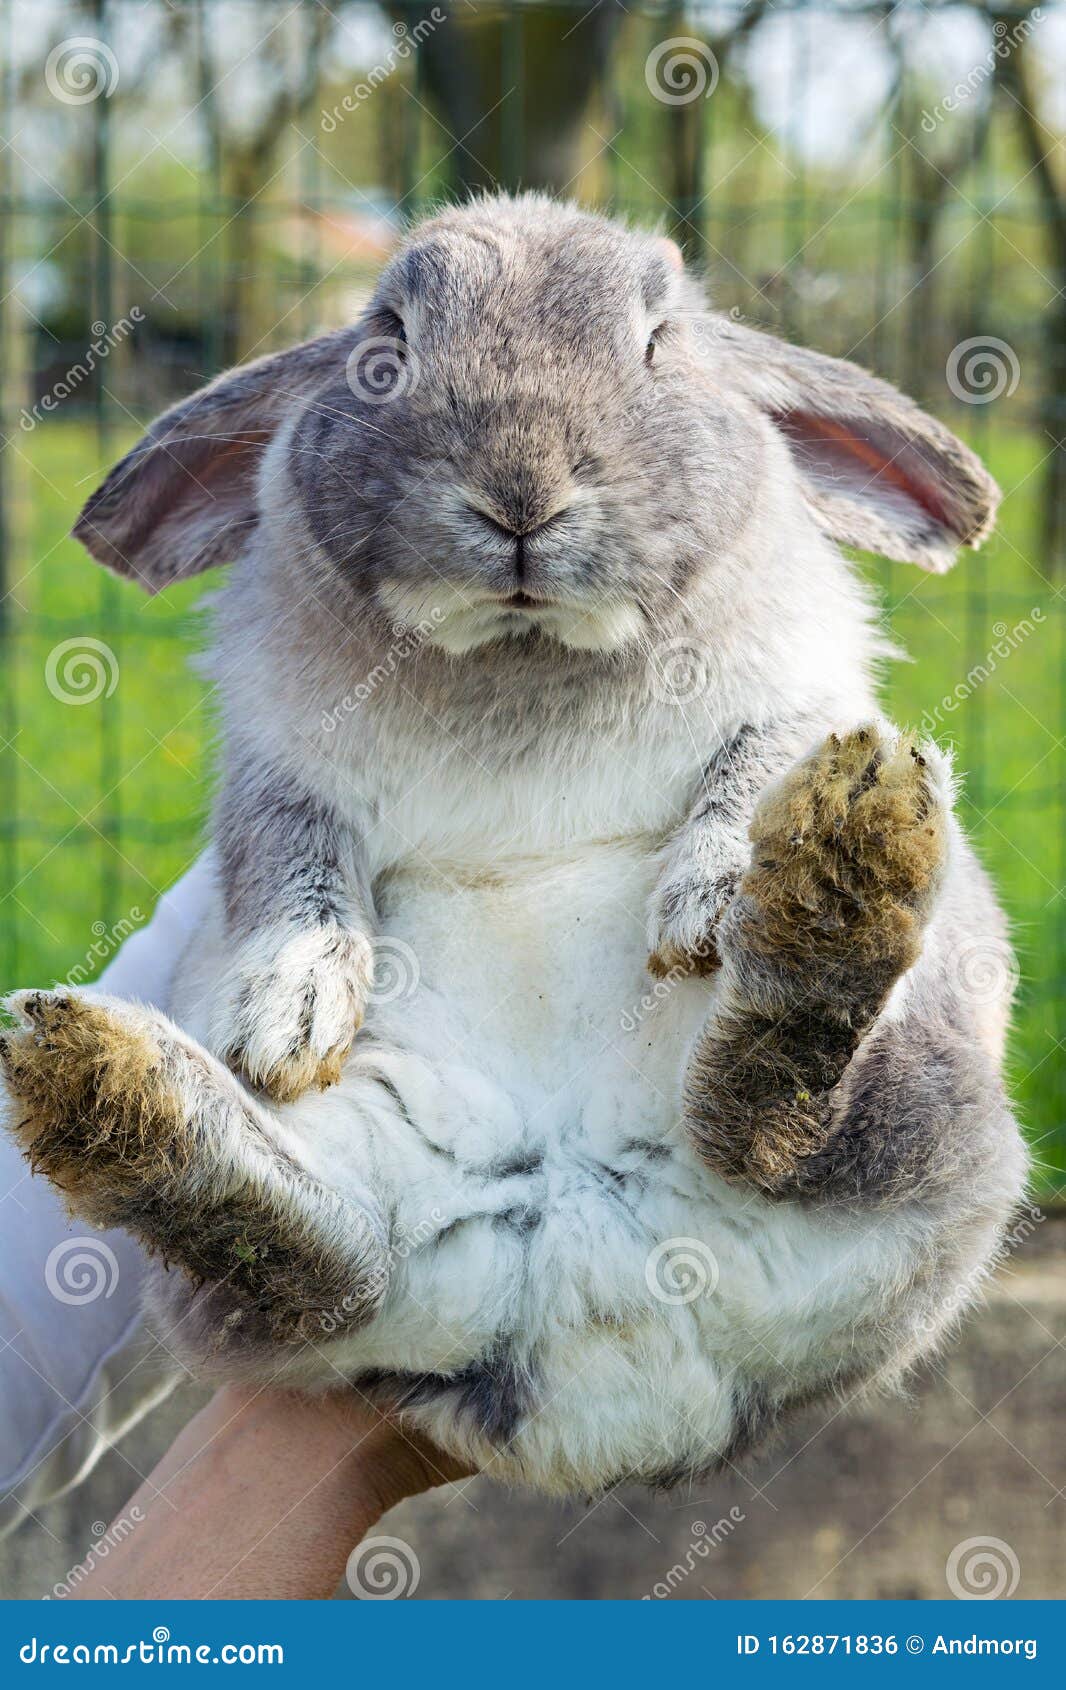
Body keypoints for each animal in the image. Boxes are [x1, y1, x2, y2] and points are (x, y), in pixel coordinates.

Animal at [1, 193, 1027, 1497]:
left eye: (659, 342)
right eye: (383, 344)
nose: (520, 494)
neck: (525, 659)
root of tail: (584, 1373)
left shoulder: (796, 699)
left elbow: (749, 772)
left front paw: (709, 899)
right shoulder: (281, 779)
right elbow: (289, 873)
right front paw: (285, 1014)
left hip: (932, 1119)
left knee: (780, 1119)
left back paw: (838, 877)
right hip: (347, 1211)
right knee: (312, 1263)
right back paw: (111, 1084)